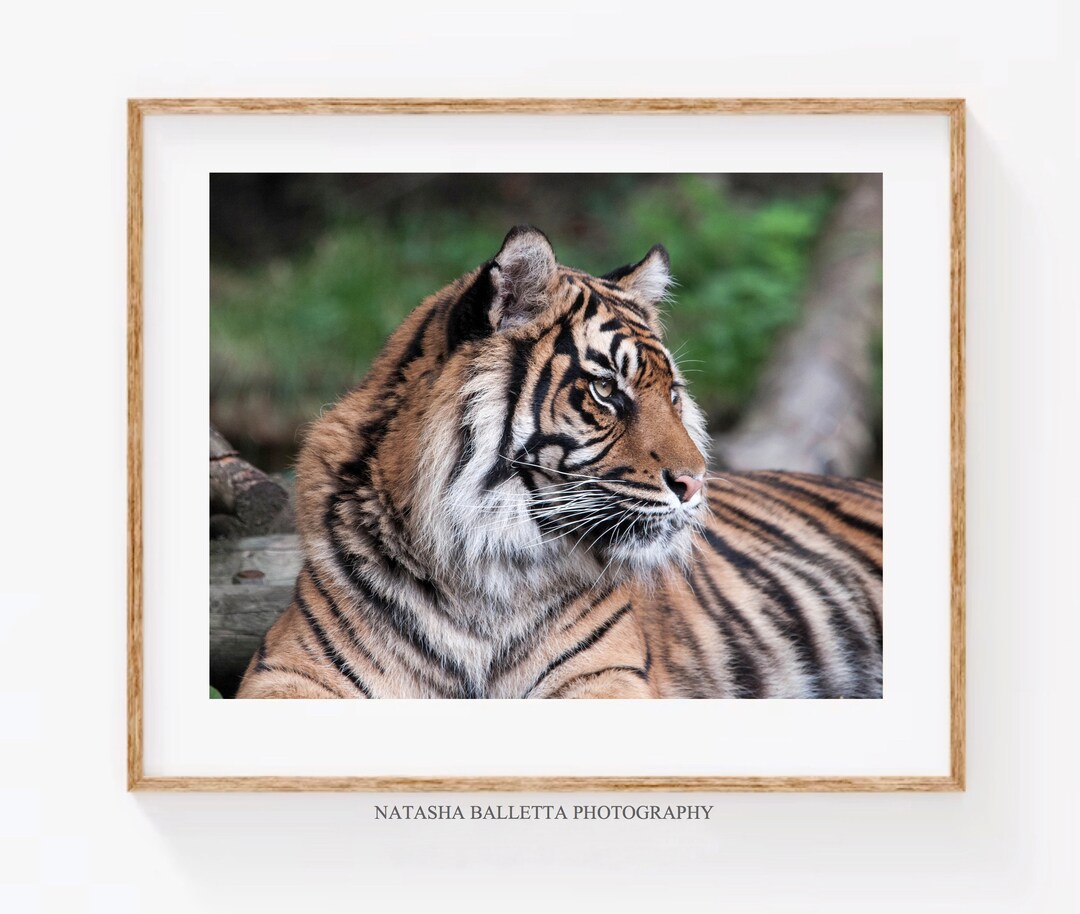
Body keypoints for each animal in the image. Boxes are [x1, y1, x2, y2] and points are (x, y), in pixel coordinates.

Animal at [235, 225, 882, 700]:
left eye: (672, 394)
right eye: (606, 390)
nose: (696, 483)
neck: (477, 577)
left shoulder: (604, 676)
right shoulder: (289, 670)